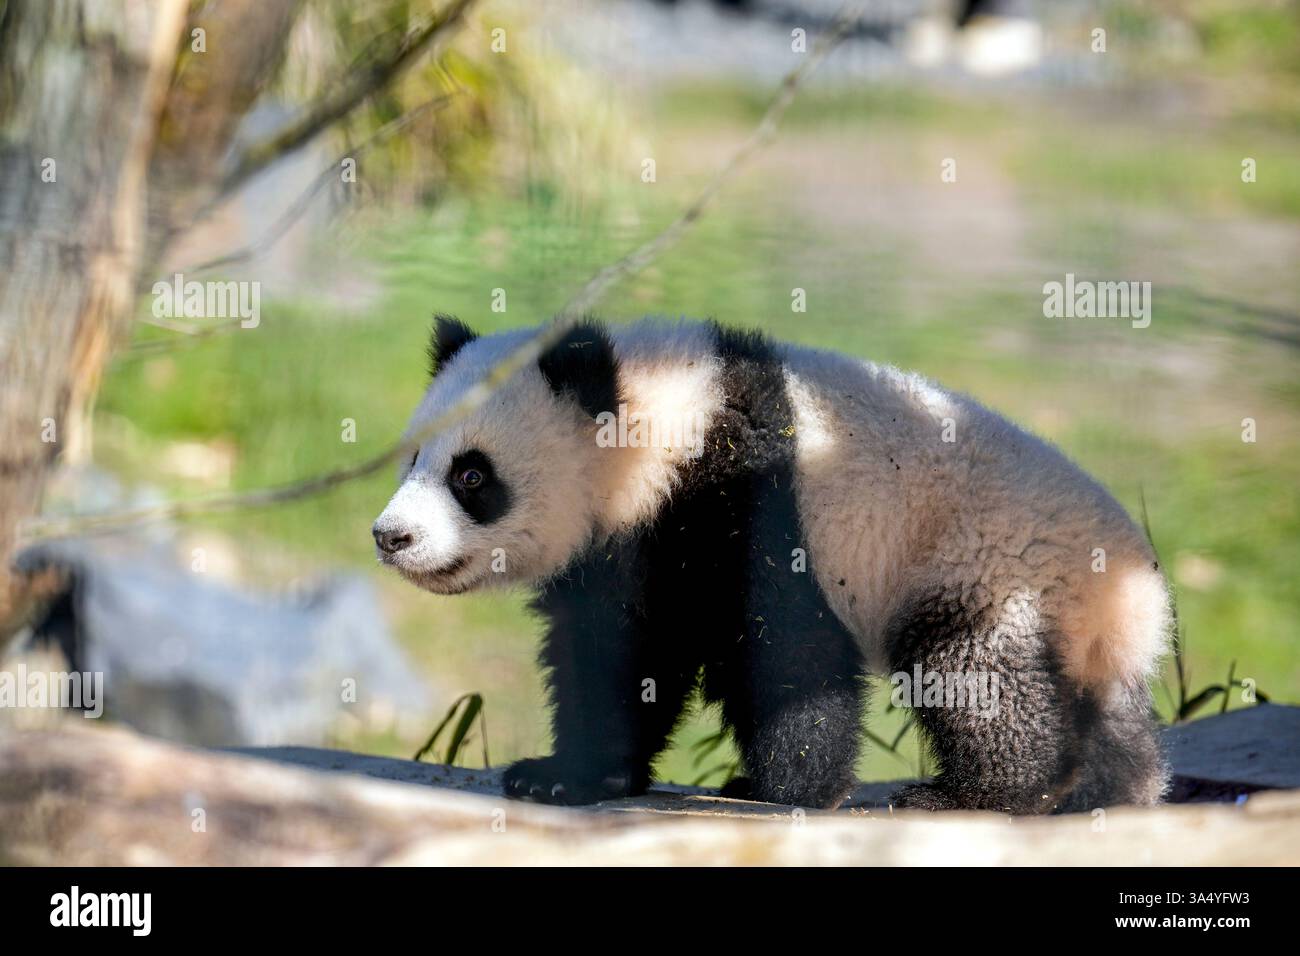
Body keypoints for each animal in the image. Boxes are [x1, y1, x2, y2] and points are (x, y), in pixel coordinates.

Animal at [373, 315, 1171, 813]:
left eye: (471, 475)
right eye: (412, 459)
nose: (391, 536)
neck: (672, 412)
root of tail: (1136, 599)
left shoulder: (743, 489)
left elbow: (784, 646)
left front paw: (786, 789)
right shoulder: (630, 541)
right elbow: (618, 649)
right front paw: (565, 777)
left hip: (990, 562)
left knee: (975, 676)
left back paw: (986, 793)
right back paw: (1110, 789)